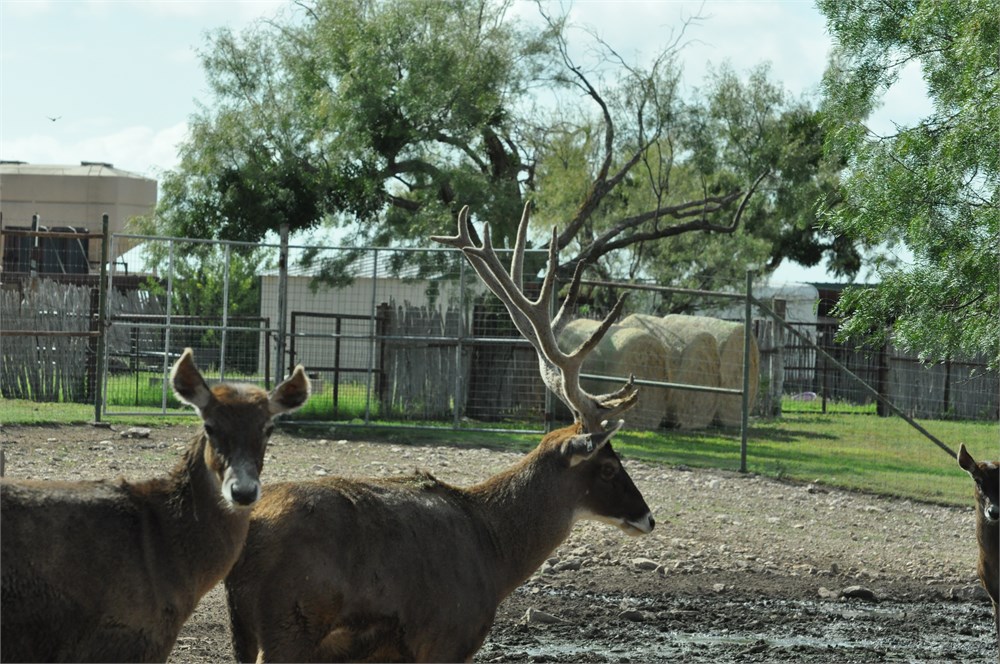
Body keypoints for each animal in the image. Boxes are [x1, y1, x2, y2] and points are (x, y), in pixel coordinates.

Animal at [223, 203, 654, 663]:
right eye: (609, 465)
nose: (649, 518)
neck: (495, 553)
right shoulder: (448, 637)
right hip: (291, 624)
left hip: (245, 629)